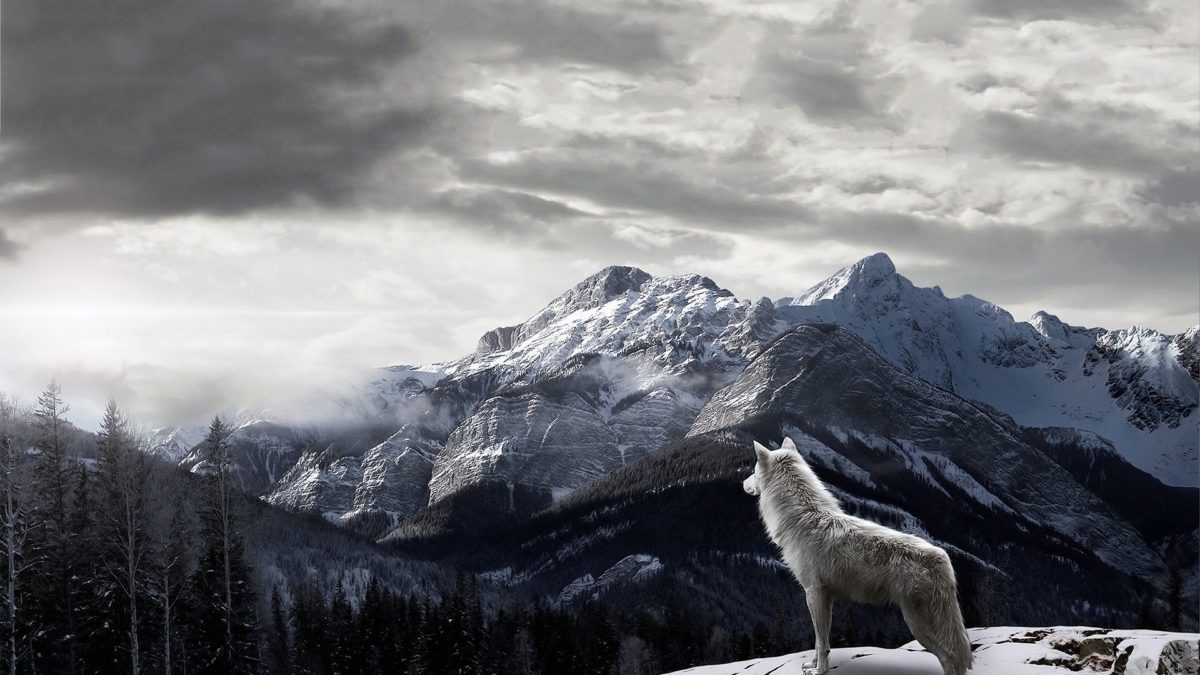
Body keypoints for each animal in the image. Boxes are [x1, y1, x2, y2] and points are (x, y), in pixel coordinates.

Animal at [742, 437, 973, 675]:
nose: (742, 482)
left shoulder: (813, 593)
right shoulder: (826, 597)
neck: (802, 518)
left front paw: (819, 670)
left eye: (753, 471)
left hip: (917, 625)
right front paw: (814, 664)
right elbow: (821, 641)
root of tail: (941, 557)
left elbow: (820, 641)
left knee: (949, 657)